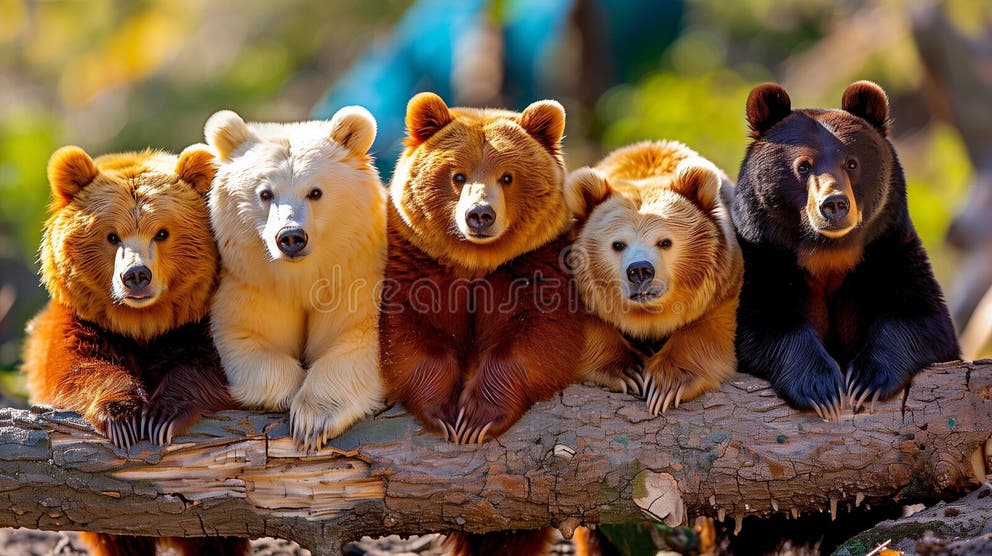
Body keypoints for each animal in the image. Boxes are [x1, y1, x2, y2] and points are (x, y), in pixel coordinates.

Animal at [21, 146, 247, 556]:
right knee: (116, 533)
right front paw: (125, 415)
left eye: (162, 232)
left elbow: (221, 369)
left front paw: (161, 415)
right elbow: (75, 370)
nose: (136, 275)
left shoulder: (204, 322)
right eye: (112, 235)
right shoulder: (80, 325)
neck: (142, 325)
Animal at [204, 107, 387, 450]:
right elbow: (246, 335)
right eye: (265, 193)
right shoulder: (253, 283)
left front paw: (312, 420)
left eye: (315, 192)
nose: (291, 237)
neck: (302, 276)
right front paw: (290, 393)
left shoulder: (355, 278)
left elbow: (360, 336)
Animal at [379, 92, 587, 445]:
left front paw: (476, 418)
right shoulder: (416, 261)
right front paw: (445, 413)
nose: (479, 214)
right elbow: (407, 333)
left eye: (507, 176)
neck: (475, 259)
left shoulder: (533, 262)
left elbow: (539, 337)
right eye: (458, 175)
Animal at [565, 140, 743, 415]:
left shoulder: (724, 284)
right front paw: (629, 371)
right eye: (618, 244)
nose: (640, 270)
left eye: (665, 242)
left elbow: (708, 329)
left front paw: (665, 384)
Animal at [733, 80, 960, 418]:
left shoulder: (887, 250)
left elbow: (922, 319)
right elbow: (761, 323)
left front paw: (866, 380)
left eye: (851, 163)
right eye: (803, 166)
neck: (828, 253)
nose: (834, 204)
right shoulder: (764, 257)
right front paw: (821, 388)